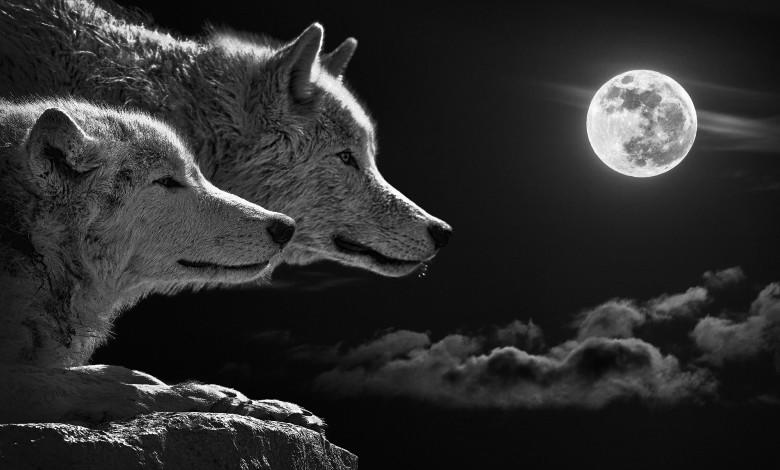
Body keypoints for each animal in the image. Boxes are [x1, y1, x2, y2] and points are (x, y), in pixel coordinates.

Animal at [0, 98, 323, 429]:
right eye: (166, 181)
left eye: (196, 174)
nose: (286, 226)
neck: (30, 245)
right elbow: (115, 388)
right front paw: (212, 397)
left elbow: (116, 372)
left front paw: (262, 405)